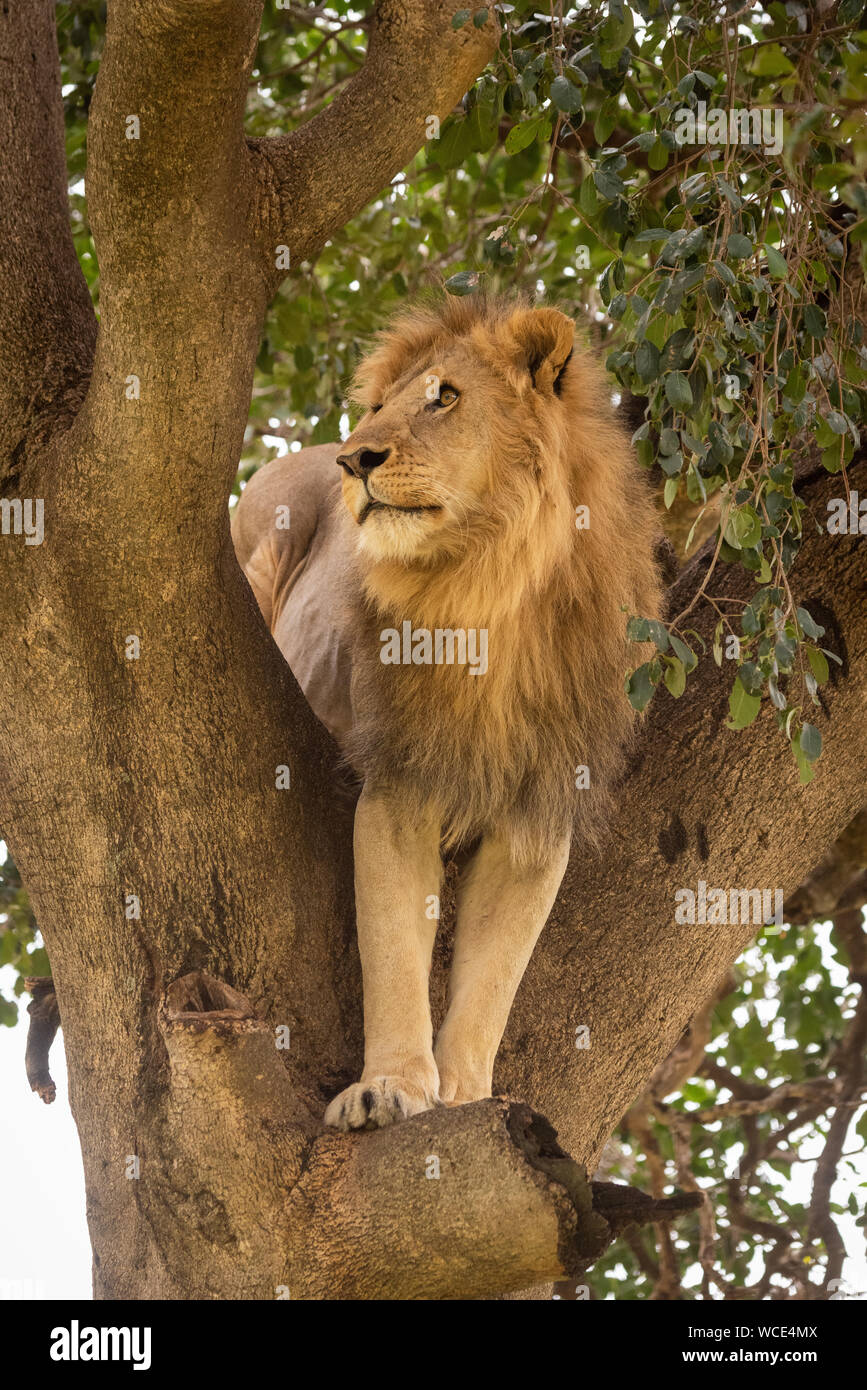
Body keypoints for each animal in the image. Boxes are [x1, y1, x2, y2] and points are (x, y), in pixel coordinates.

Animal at [232, 294, 663, 1129]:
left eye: (444, 398)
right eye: (376, 408)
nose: (353, 461)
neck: (485, 590)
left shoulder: (540, 806)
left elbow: (494, 976)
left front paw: (465, 1096)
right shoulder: (401, 779)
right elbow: (393, 952)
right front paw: (389, 1088)